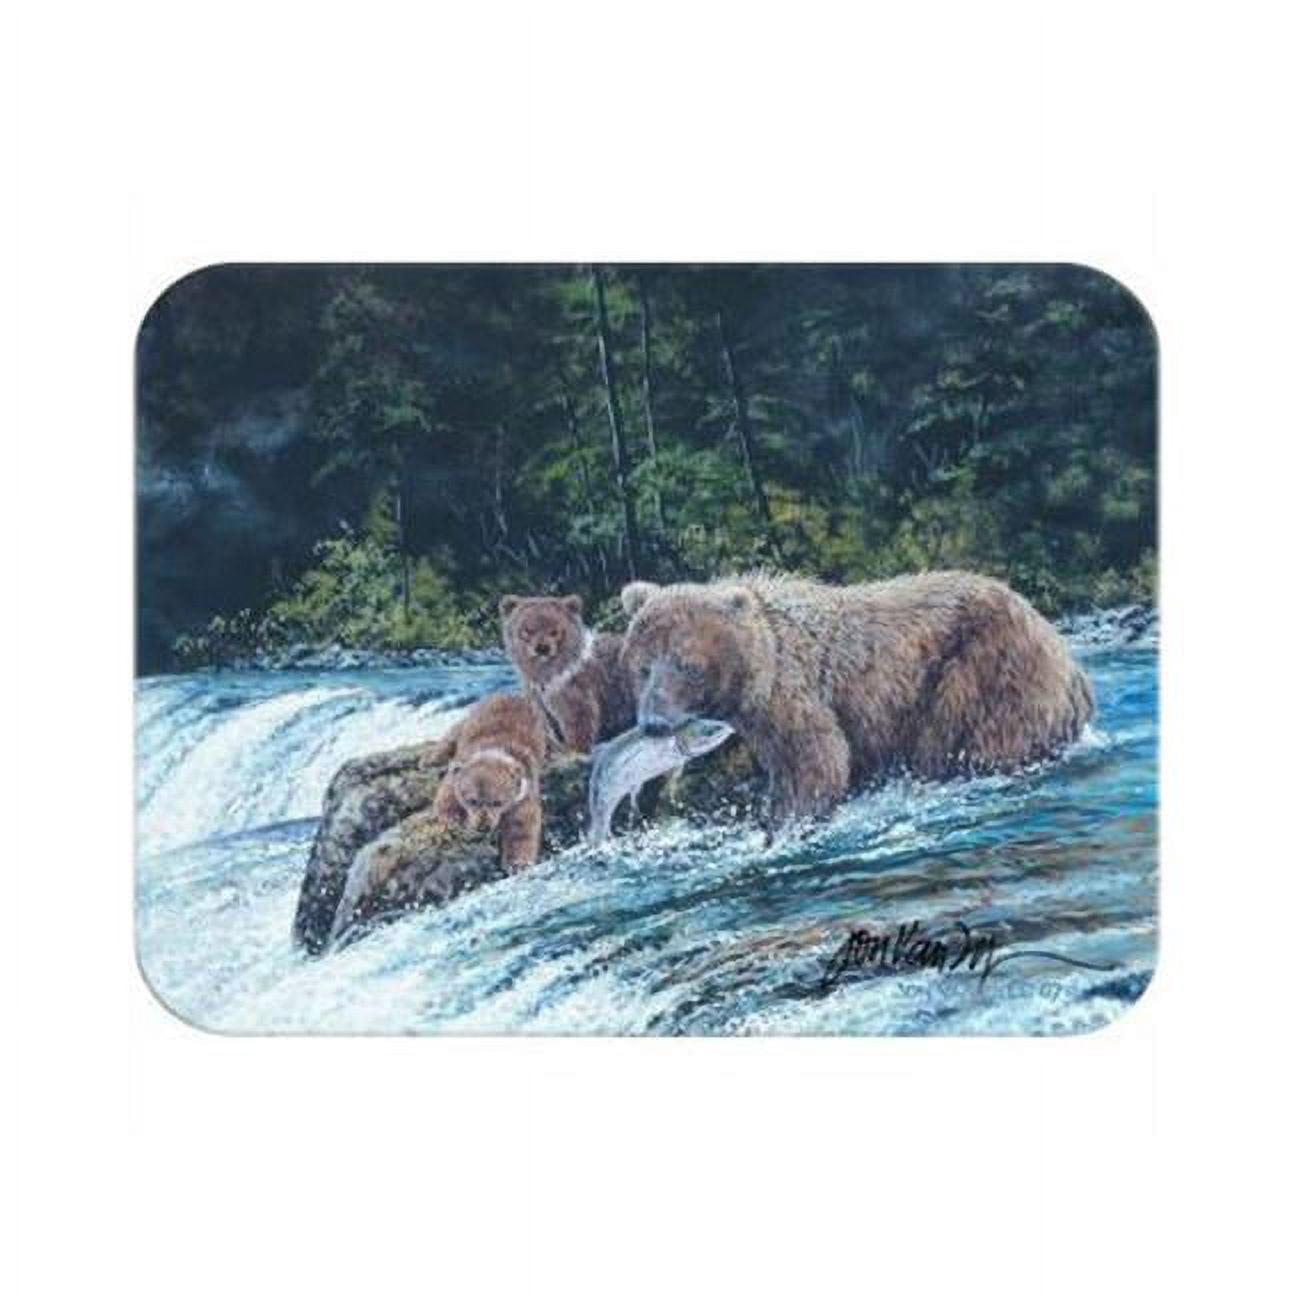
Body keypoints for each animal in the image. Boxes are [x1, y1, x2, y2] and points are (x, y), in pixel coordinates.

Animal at [429, 692, 548, 871]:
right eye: (472, 800)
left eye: (498, 802)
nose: (483, 826)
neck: (494, 751)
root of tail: (512, 694)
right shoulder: (458, 769)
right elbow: (446, 795)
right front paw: (453, 820)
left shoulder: (523, 794)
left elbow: (522, 826)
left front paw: (518, 862)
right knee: (454, 732)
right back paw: (430, 759)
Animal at [500, 593, 637, 755]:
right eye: (528, 630)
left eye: (555, 631)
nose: (542, 648)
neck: (547, 676)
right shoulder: (539, 705)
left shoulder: (575, 701)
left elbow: (578, 730)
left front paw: (572, 752)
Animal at [619, 570, 1094, 827]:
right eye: (642, 667)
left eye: (687, 666)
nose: (652, 723)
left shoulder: (794, 694)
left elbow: (817, 761)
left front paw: (784, 822)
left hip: (986, 670)